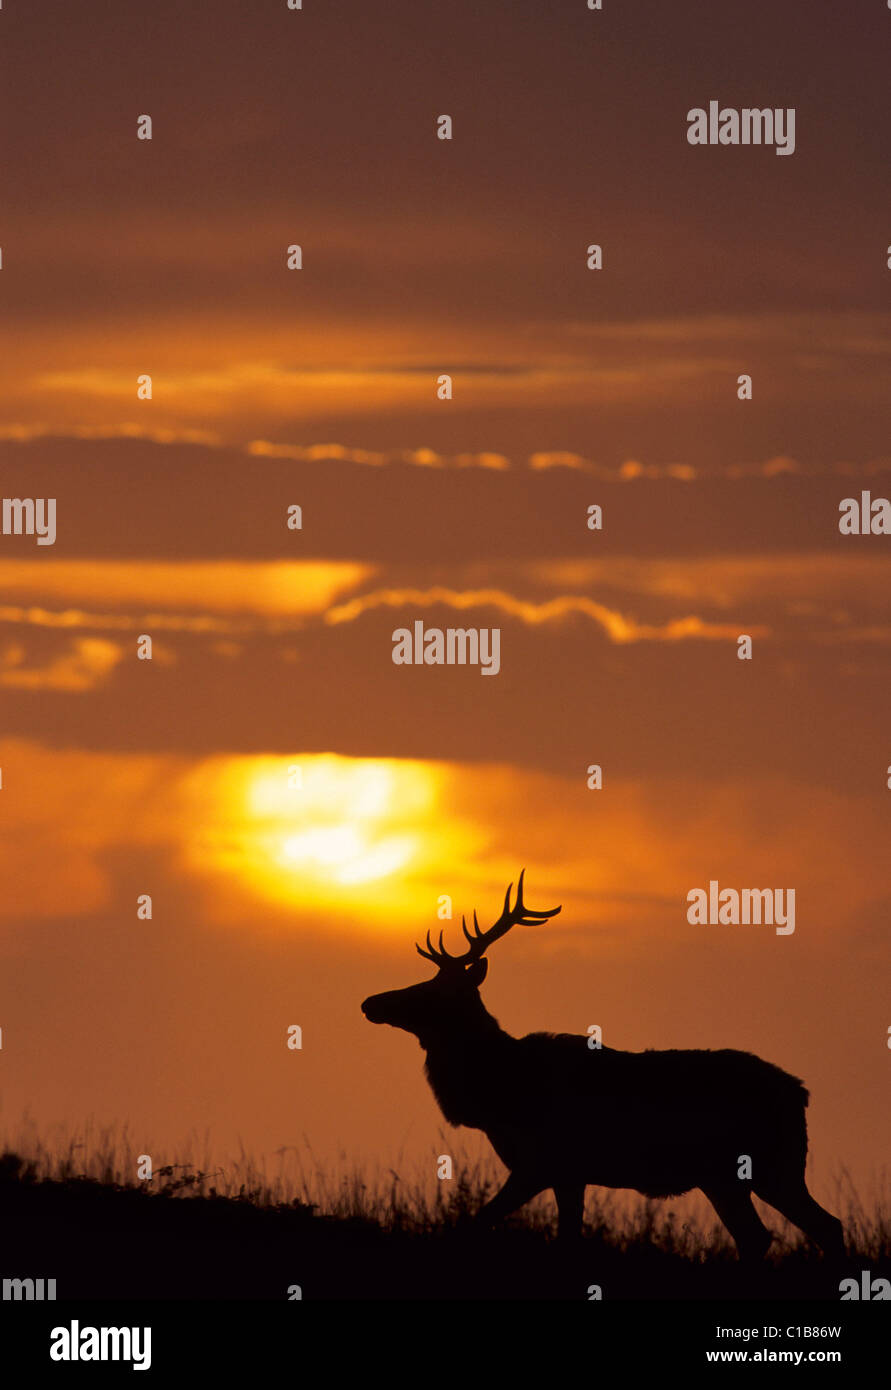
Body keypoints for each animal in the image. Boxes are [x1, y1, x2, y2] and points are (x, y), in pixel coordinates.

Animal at [361, 872, 845, 1260]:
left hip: (768, 1166)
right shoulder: (568, 1174)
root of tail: (800, 1093)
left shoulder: (544, 1163)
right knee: (769, 1234)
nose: (370, 1002)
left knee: (819, 1227)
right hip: (730, 1177)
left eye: (431, 990)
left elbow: (480, 1224)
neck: (499, 1097)